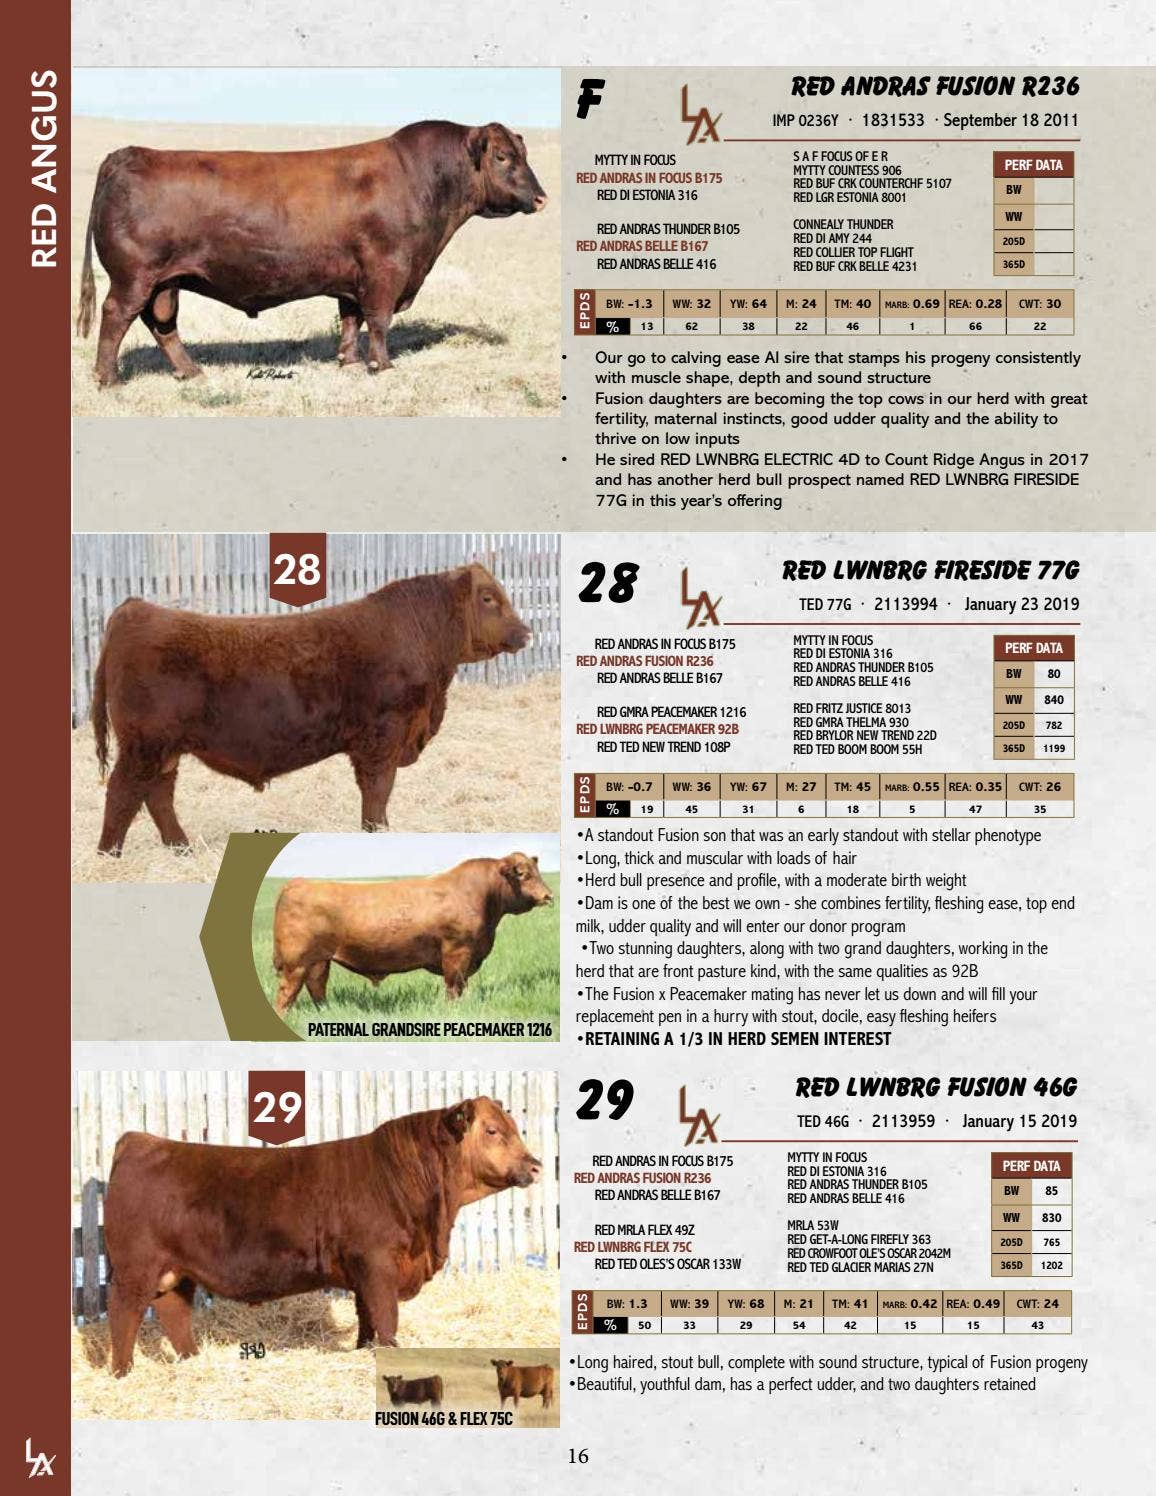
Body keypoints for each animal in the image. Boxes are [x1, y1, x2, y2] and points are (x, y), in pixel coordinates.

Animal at [75, 120, 547, 386]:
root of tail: (128, 154)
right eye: (503, 156)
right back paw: (109, 379)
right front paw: (382, 366)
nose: (542, 199)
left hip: (165, 282)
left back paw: (190, 372)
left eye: (521, 153)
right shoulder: (387, 269)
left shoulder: (353, 278)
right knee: (116, 316)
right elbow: (379, 320)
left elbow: (351, 320)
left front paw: (349, 362)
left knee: (162, 324)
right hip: (134, 276)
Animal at [90, 563, 530, 855]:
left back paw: (180, 848)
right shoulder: (382, 737)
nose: (526, 633)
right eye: (488, 598)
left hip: (164, 749)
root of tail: (136, 608)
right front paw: (377, 832)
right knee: (123, 791)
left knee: (157, 795)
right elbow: (378, 791)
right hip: (144, 744)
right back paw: (109, 854)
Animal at [102, 1096, 541, 1376]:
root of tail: (140, 1140)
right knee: (124, 1314)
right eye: (492, 1130)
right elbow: (386, 1316)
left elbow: (367, 1317)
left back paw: (192, 1359)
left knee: (174, 1311)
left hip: (176, 1271)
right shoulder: (377, 1263)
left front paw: (364, 1350)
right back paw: (123, 1372)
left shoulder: (364, 1272)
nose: (536, 1165)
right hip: (135, 1268)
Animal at [272, 853, 554, 1014]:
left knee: (316, 985)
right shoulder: (457, 952)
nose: (548, 896)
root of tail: (298, 882)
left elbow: (462, 986)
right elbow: (454, 986)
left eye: (537, 871)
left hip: (319, 960)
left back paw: (326, 1012)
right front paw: (453, 1012)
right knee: (287, 992)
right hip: (296, 962)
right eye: (522, 874)